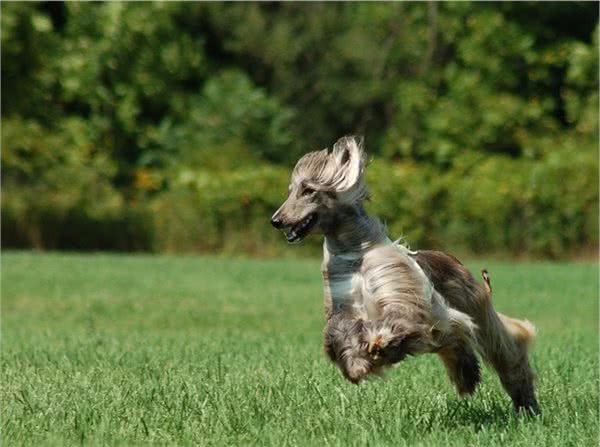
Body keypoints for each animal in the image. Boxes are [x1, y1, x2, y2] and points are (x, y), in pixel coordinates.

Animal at [270, 137, 540, 416]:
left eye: (308, 190)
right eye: (291, 190)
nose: (276, 220)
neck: (355, 254)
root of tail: (453, 259)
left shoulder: (399, 290)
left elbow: (400, 317)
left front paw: (380, 342)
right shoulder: (342, 299)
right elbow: (340, 331)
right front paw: (357, 364)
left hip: (475, 306)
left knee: (508, 347)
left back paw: (526, 403)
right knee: (455, 342)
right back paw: (466, 375)